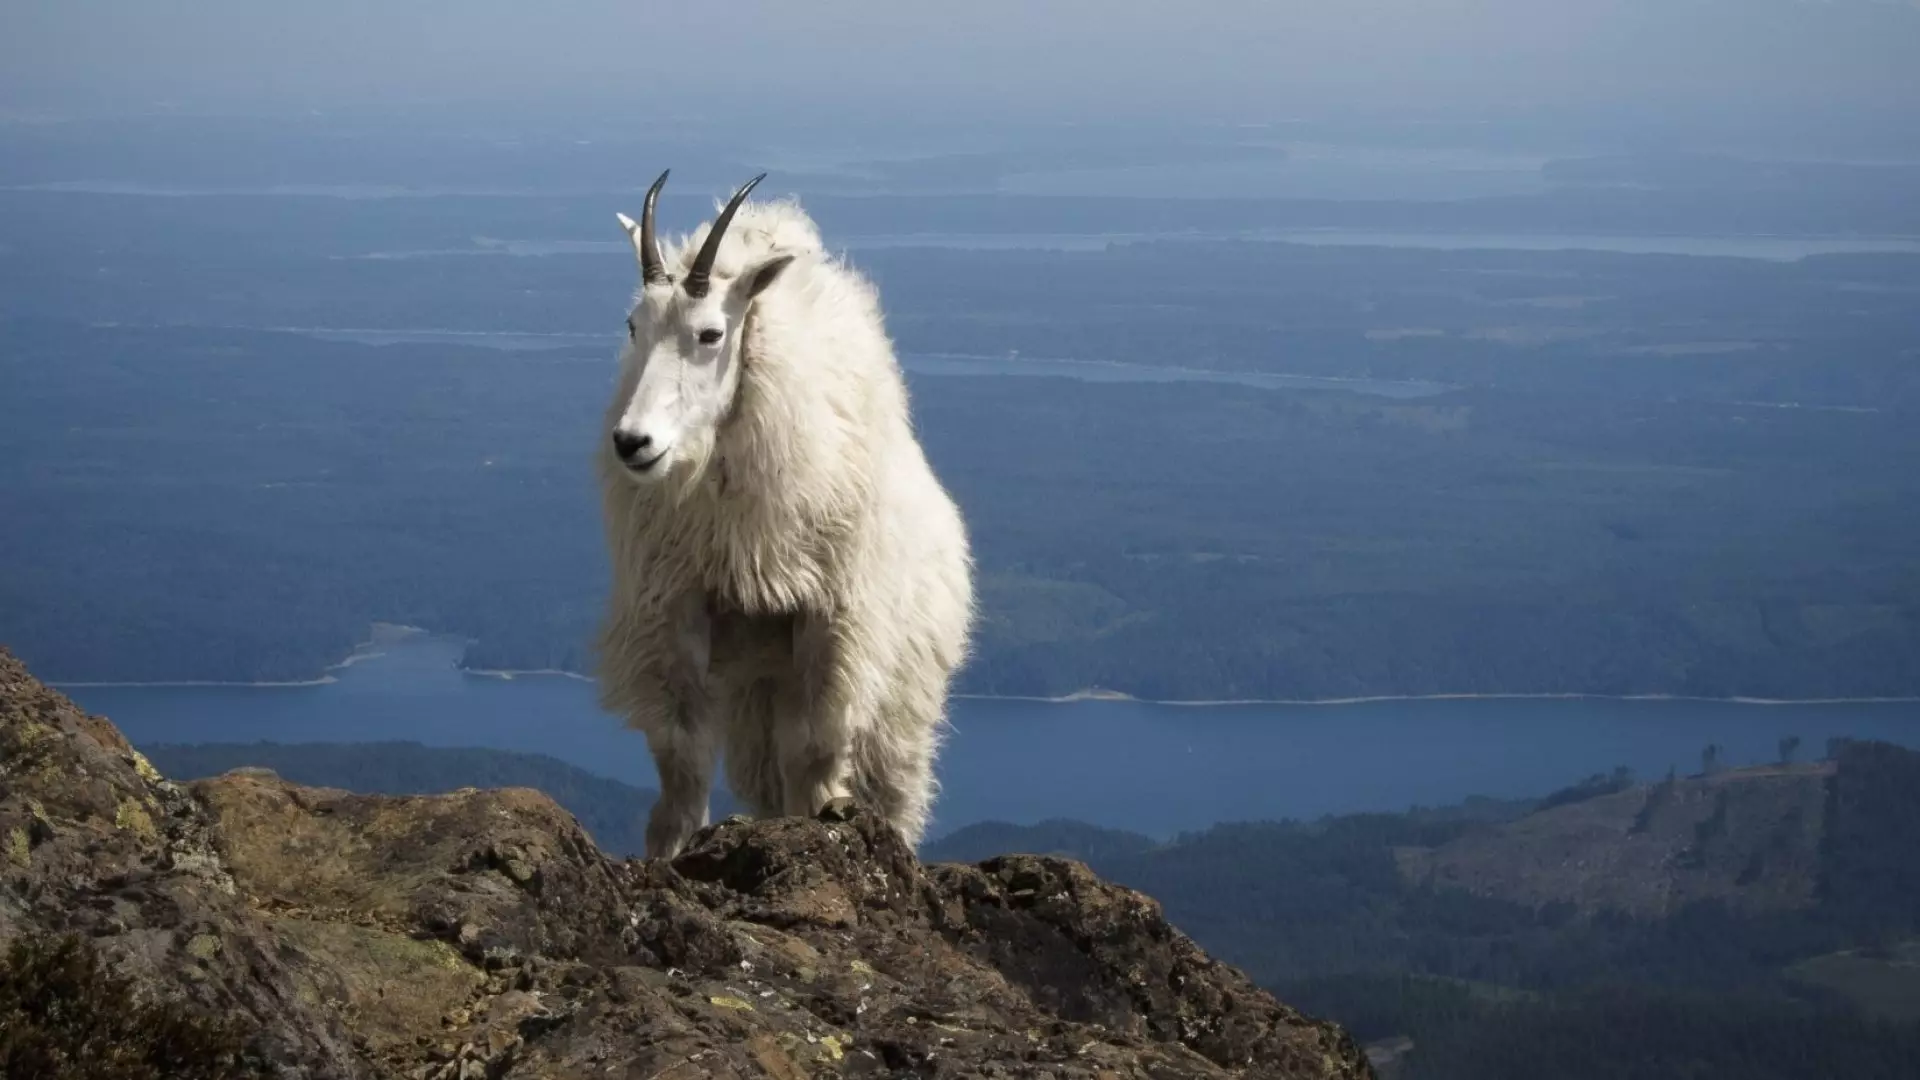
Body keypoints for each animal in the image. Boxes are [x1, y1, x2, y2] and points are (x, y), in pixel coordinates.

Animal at [591, 170, 975, 857]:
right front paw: (667, 856)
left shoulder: (831, 618)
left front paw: (822, 831)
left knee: (890, 786)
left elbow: (815, 754)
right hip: (754, 696)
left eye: (711, 334)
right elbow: (682, 757)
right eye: (634, 326)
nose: (633, 443)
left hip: (902, 698)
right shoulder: (677, 609)